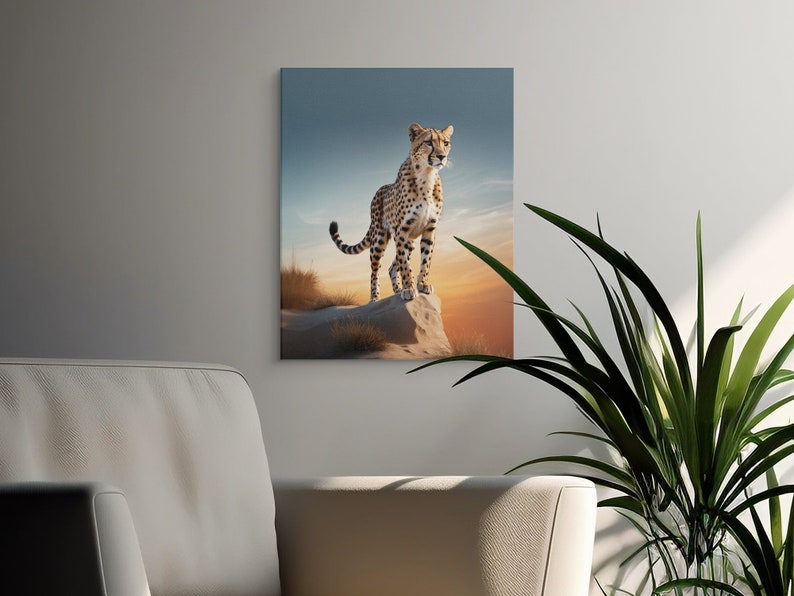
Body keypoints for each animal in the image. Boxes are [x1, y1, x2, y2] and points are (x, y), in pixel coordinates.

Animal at [329, 122, 453, 302]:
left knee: (391, 267)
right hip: (379, 239)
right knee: (375, 270)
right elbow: (405, 264)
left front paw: (421, 284)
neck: (427, 175)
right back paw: (375, 298)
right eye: (429, 142)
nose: (442, 156)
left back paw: (397, 289)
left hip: (410, 242)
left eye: (446, 143)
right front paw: (409, 288)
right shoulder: (400, 230)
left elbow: (426, 261)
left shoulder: (430, 229)